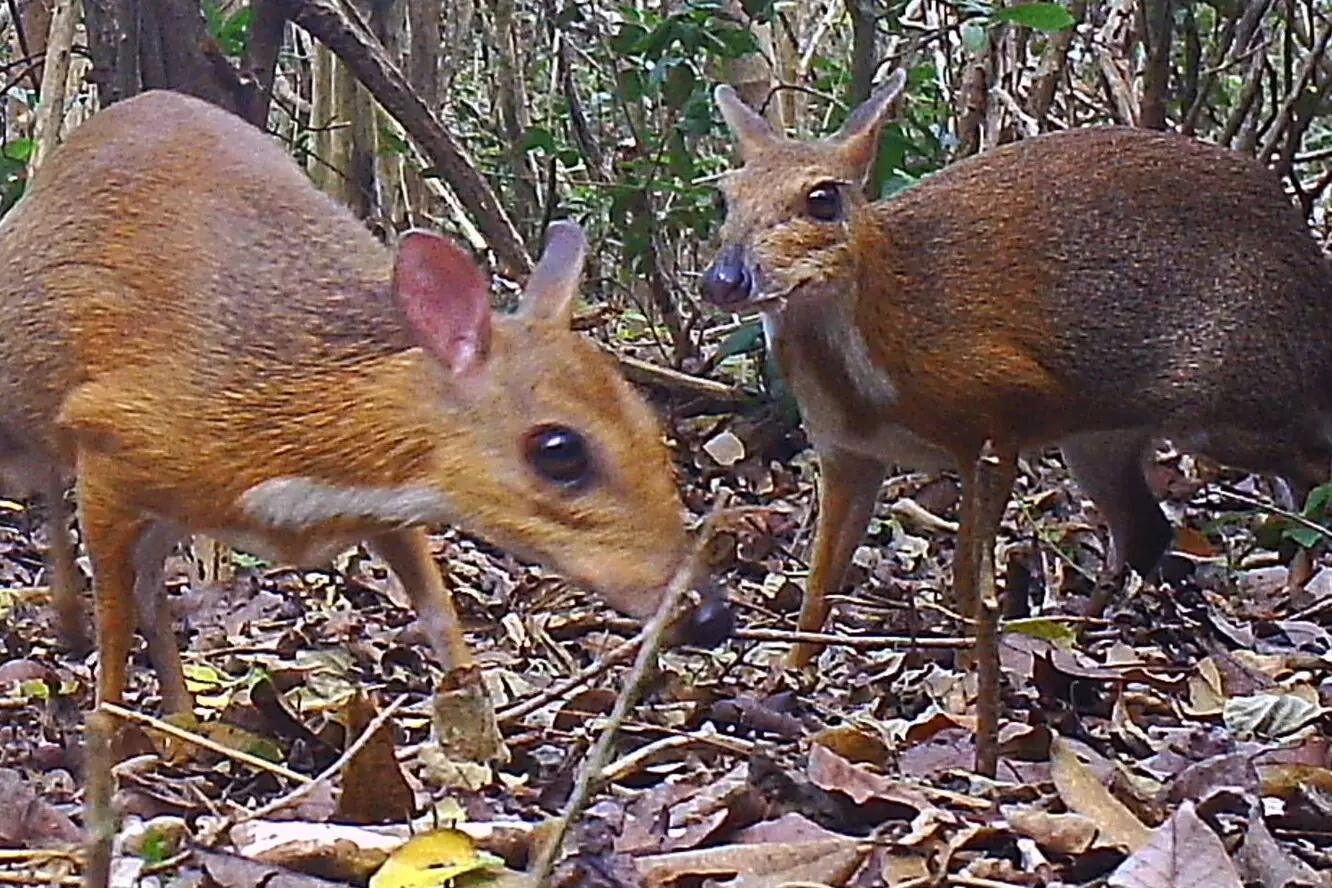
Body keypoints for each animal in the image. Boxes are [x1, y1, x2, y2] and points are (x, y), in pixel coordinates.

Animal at [703, 71, 1332, 665]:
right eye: (725, 198)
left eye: (822, 198)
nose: (724, 279)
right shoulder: (845, 453)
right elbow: (819, 584)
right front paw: (791, 669)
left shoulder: (1001, 412)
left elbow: (965, 575)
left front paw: (967, 665)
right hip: (1101, 438)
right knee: (1146, 529)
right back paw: (1081, 628)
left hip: (1239, 402)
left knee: (1310, 474)